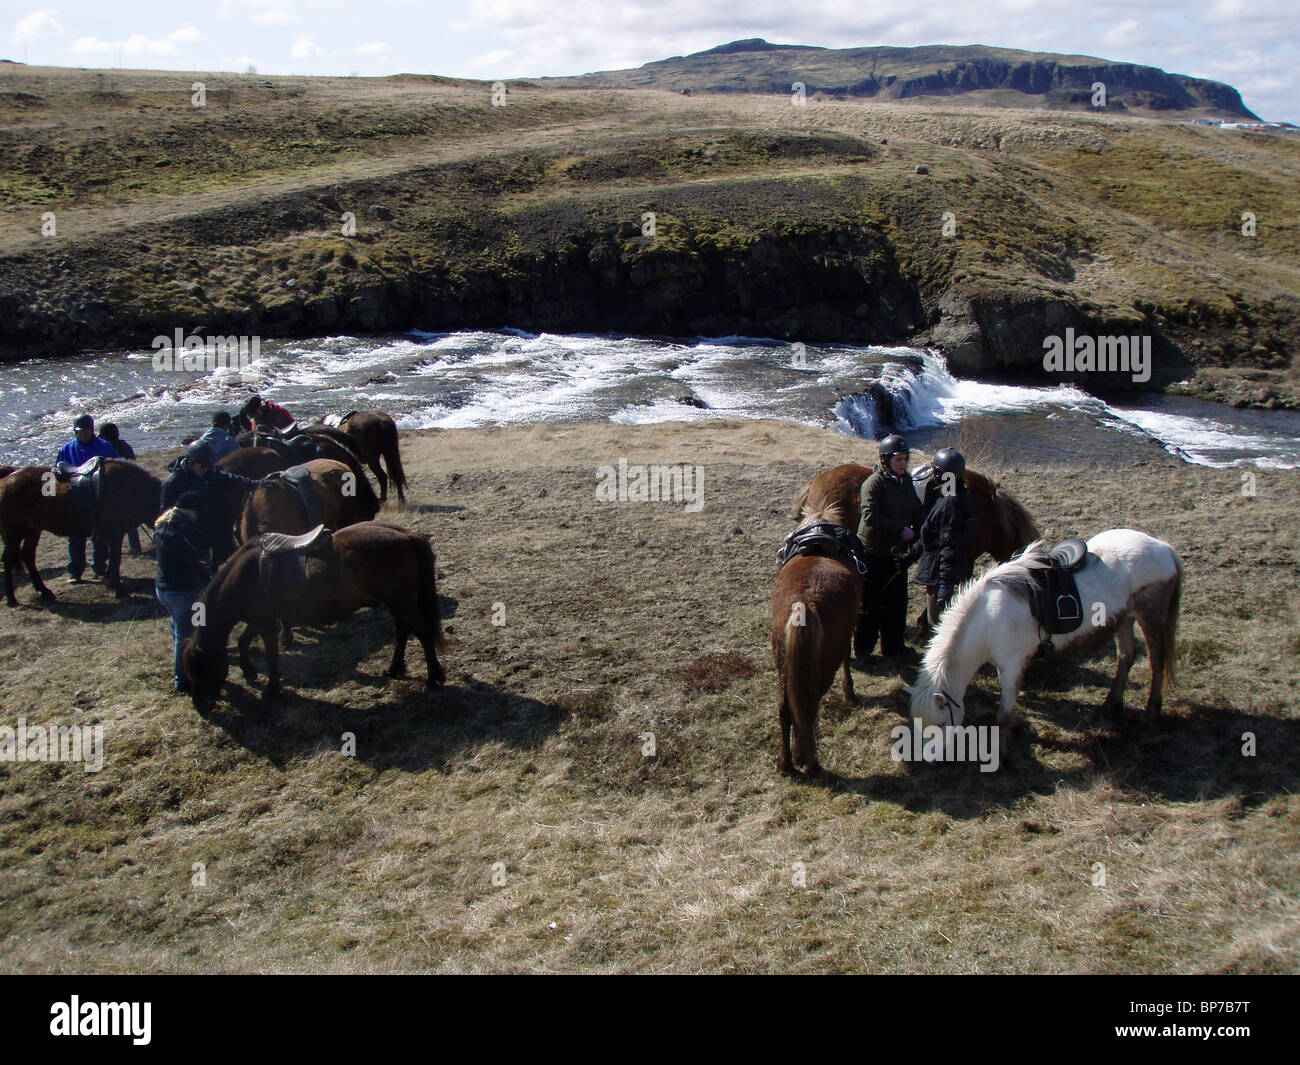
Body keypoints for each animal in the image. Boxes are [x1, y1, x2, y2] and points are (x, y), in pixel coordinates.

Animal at [0, 459, 162, 604]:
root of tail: (5, 481)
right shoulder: (116, 533)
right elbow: (115, 559)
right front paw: (117, 588)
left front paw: (110, 582)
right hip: (13, 532)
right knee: (8, 558)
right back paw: (10, 598)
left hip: (33, 530)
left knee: (28, 556)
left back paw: (44, 591)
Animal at [182, 520, 446, 711]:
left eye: (200, 668)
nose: (200, 706)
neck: (244, 577)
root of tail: (406, 536)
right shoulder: (258, 620)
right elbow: (243, 641)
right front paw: (249, 672)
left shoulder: (265, 624)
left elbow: (270, 655)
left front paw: (271, 689)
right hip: (395, 602)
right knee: (402, 631)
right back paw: (394, 669)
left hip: (402, 601)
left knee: (422, 632)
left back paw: (433, 678)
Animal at [770, 502, 862, 776]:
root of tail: (805, 602)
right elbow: (847, 658)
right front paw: (849, 691)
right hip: (822, 665)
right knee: (808, 706)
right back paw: (809, 762)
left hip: (784, 665)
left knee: (786, 709)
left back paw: (786, 762)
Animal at [904, 530, 1183, 760]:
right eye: (918, 725)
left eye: (941, 723)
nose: (929, 760)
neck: (989, 618)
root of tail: (1164, 548)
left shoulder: (1012, 667)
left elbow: (1003, 715)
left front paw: (1002, 753)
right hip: (1125, 619)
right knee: (1127, 655)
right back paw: (1112, 703)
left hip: (1150, 617)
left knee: (1157, 661)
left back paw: (1151, 711)